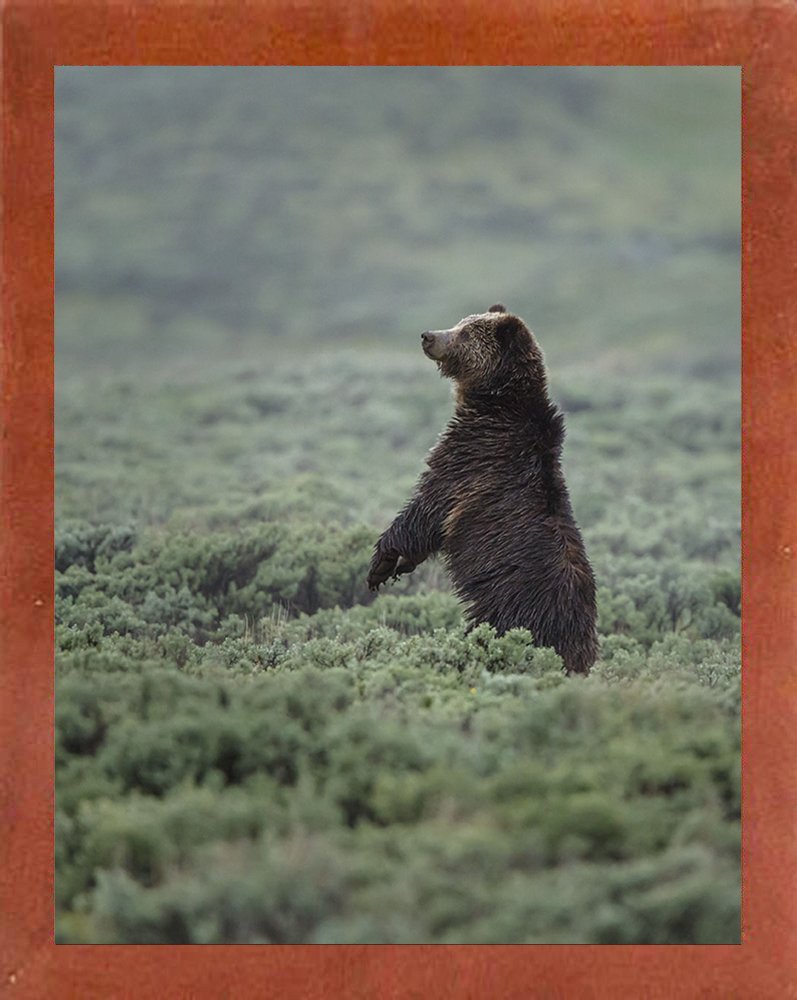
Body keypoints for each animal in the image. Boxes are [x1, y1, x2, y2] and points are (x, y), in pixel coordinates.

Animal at [367, 304, 598, 675]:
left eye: (465, 333)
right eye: (460, 322)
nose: (428, 336)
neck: (496, 404)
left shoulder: (470, 460)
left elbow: (427, 509)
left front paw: (382, 563)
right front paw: (401, 565)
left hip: (510, 605)